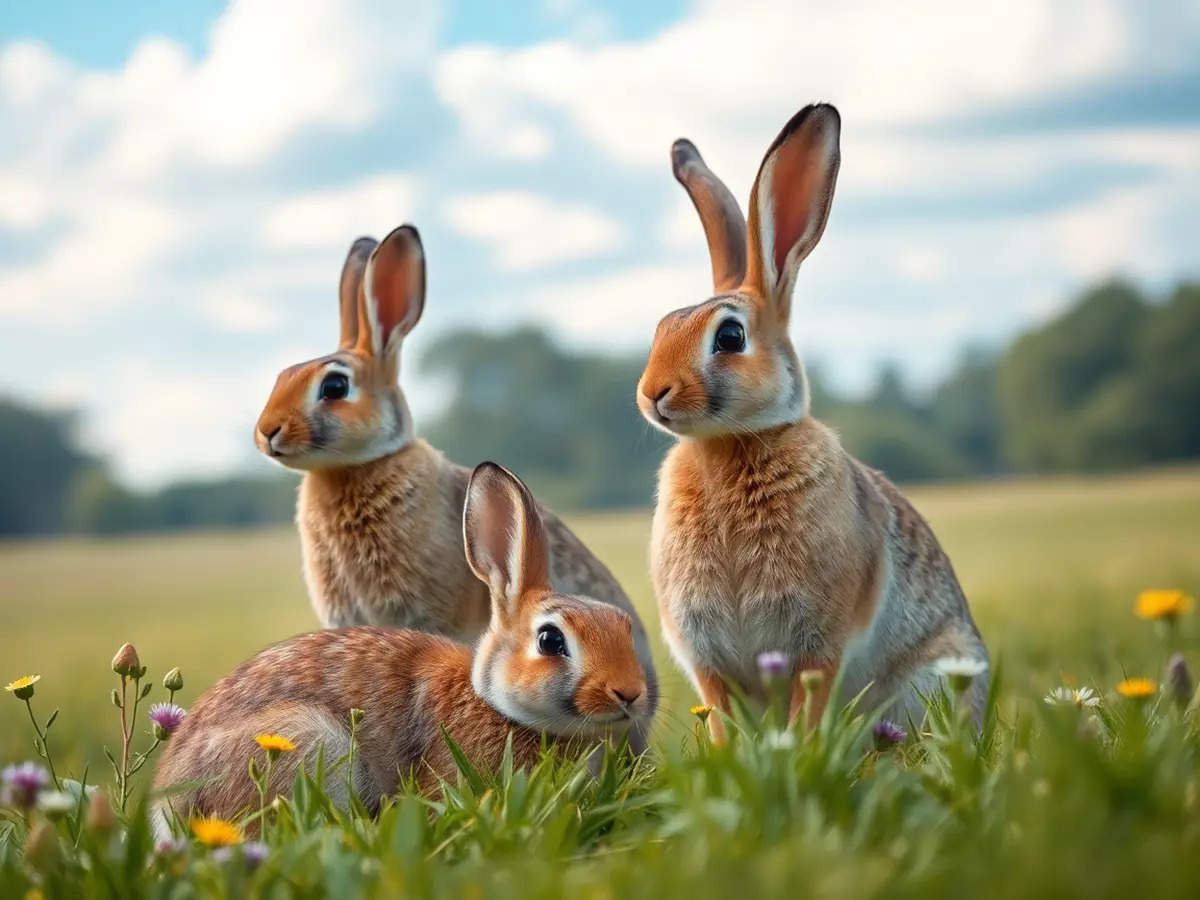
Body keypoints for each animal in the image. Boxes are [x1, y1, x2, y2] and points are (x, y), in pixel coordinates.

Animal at [154, 462, 652, 828]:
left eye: (623, 626)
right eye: (550, 639)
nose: (630, 693)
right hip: (308, 739)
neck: (494, 703)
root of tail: (165, 805)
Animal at [636, 104, 988, 741]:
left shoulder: (818, 641)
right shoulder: (709, 659)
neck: (731, 447)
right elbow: (722, 716)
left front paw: (796, 750)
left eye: (730, 336)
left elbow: (810, 702)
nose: (653, 393)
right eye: (661, 328)